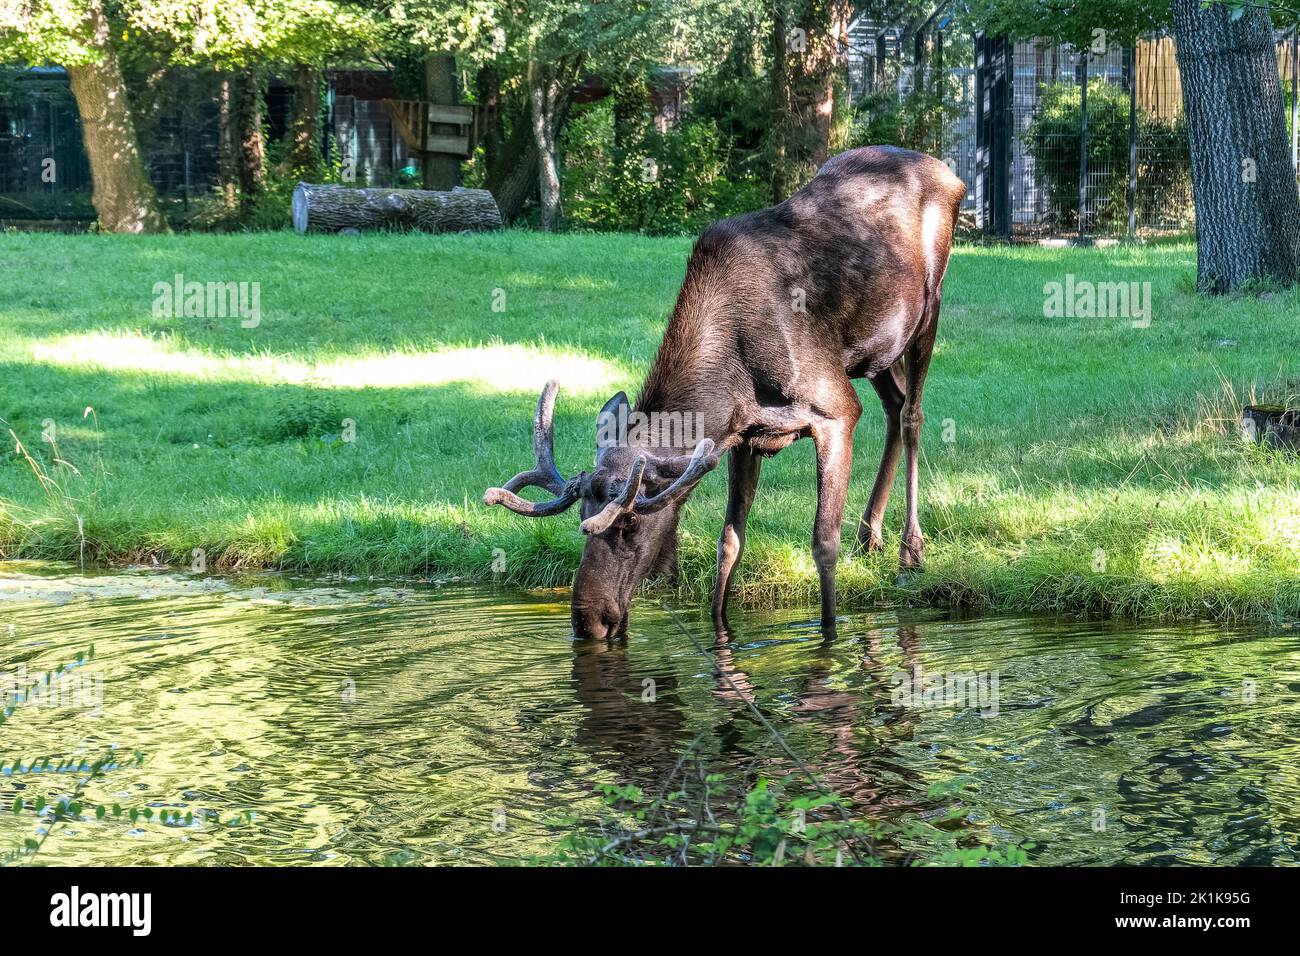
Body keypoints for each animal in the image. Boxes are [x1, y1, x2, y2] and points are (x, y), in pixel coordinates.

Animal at [484, 146, 966, 640]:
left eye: (630, 523)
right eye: (582, 514)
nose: (588, 621)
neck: (734, 373)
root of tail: (948, 173)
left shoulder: (835, 409)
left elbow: (822, 541)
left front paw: (829, 636)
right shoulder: (742, 434)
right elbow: (729, 541)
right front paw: (720, 632)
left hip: (929, 307)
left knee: (912, 413)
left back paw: (910, 551)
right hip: (875, 351)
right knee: (895, 403)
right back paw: (869, 536)